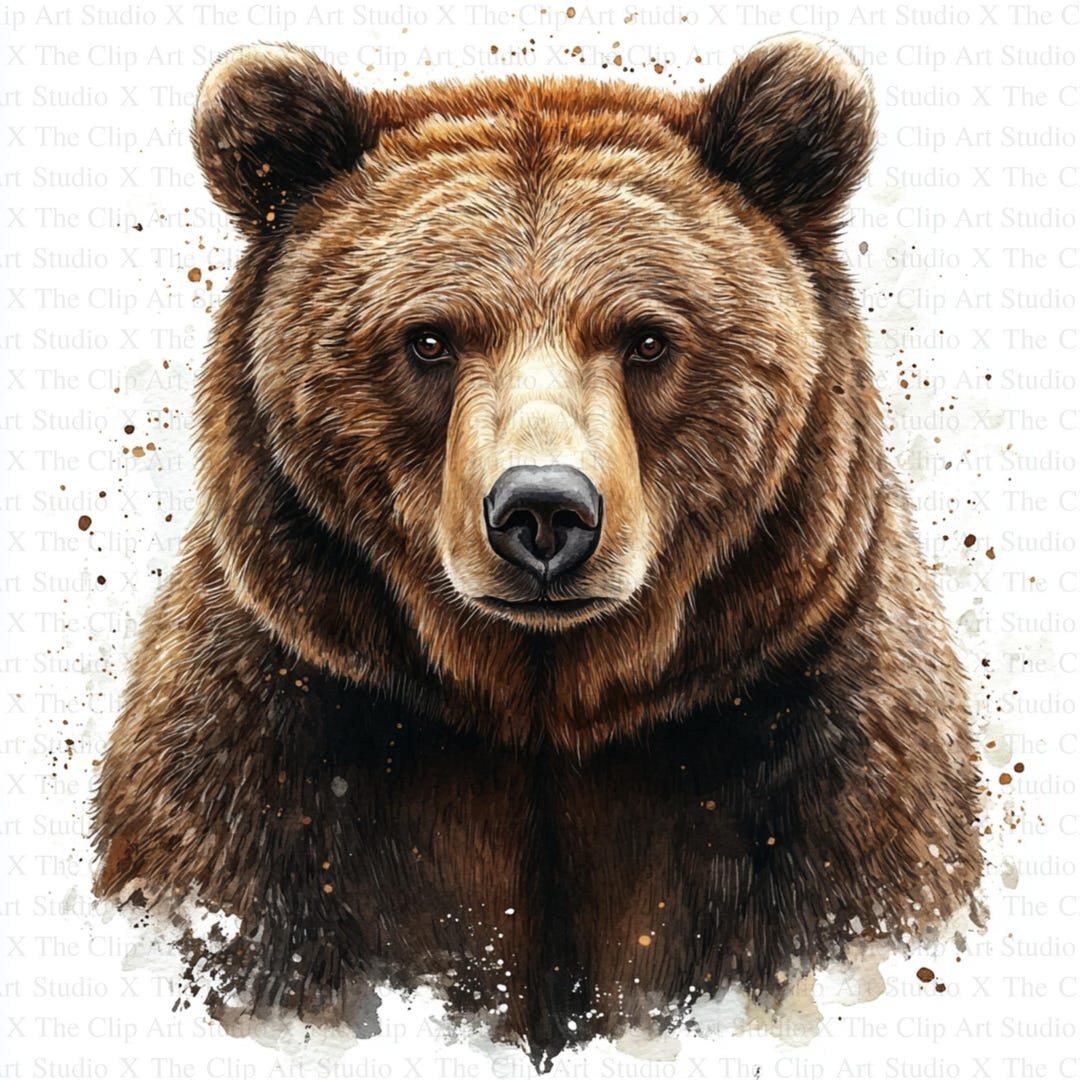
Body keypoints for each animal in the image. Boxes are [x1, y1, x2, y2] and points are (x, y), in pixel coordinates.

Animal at [93, 36, 983, 1068]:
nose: (546, 512)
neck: (541, 709)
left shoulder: (816, 759)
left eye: (648, 338)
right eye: (428, 338)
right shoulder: (274, 761)